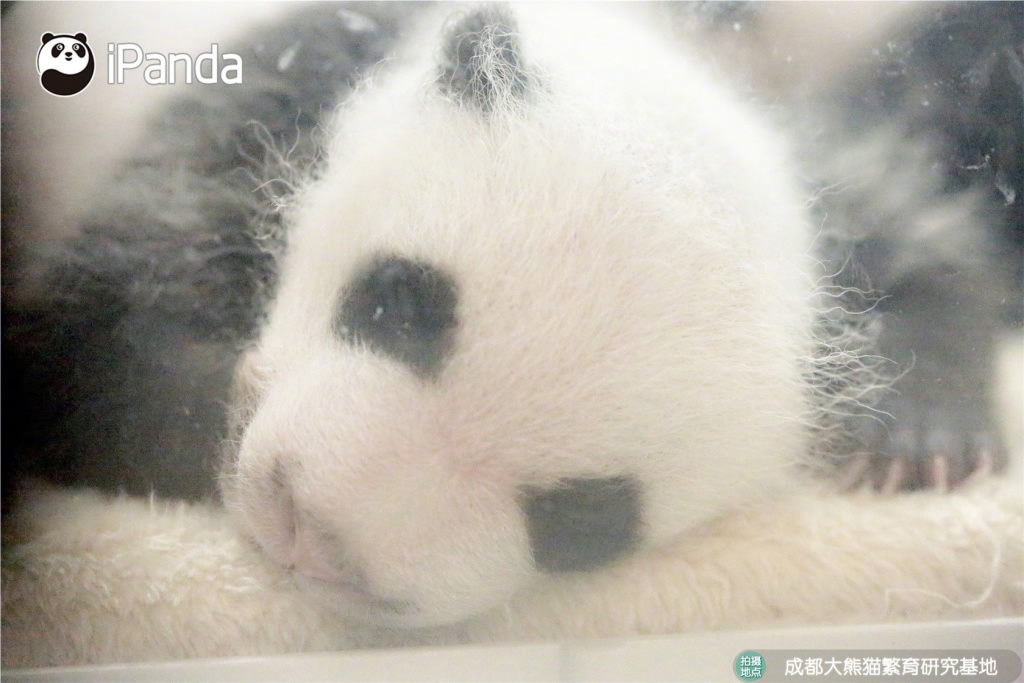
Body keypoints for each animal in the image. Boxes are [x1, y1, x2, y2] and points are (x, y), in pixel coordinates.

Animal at [2, 2, 1019, 631]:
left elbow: (923, 248)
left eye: (581, 521)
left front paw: (919, 442)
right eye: (397, 302)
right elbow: (104, 317)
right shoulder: (278, 85)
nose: (312, 532)